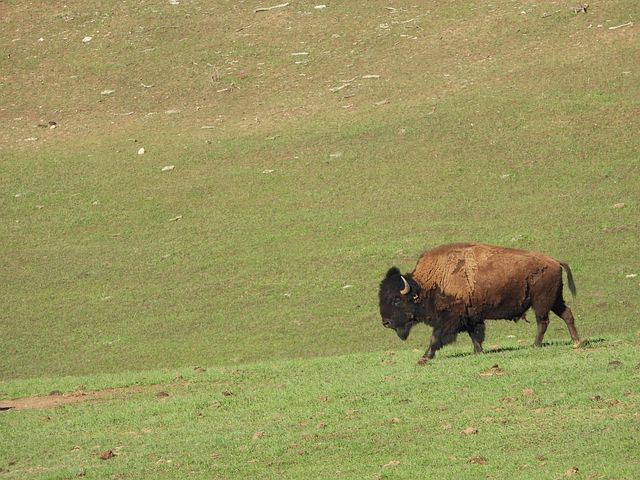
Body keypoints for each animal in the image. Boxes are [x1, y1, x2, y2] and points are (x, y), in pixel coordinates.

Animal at [378, 243, 581, 364]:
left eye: (396, 300)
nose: (385, 322)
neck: (425, 285)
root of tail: (555, 261)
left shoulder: (449, 318)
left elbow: (435, 337)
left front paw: (424, 357)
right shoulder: (470, 317)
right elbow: (475, 334)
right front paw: (478, 351)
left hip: (541, 302)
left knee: (543, 322)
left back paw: (535, 345)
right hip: (555, 300)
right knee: (567, 314)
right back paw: (576, 341)